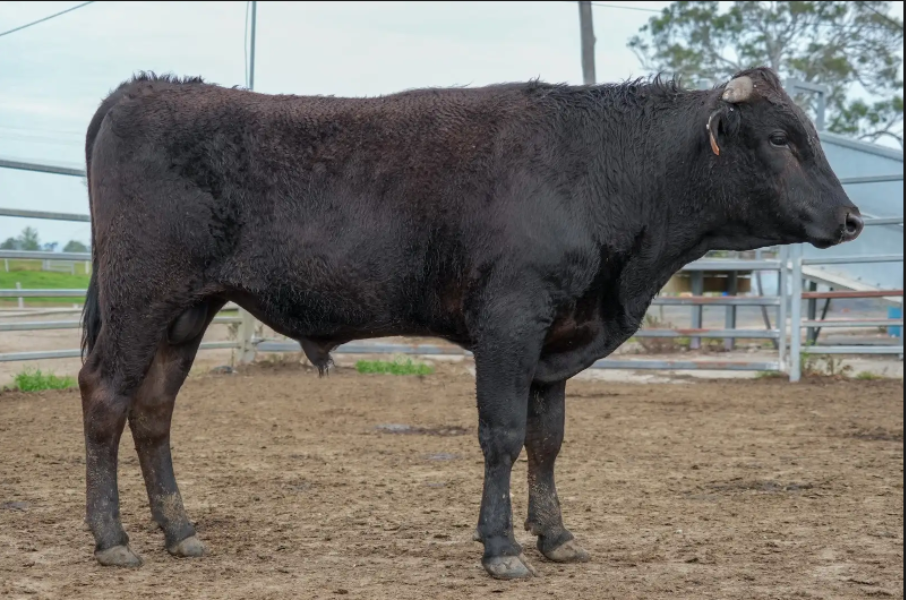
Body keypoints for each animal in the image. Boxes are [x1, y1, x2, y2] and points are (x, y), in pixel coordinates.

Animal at [77, 66, 863, 580]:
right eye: (780, 138)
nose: (853, 218)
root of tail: (142, 87)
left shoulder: (556, 339)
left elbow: (548, 441)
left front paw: (556, 535)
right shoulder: (509, 322)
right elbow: (503, 436)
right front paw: (502, 549)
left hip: (186, 310)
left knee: (153, 410)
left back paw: (180, 531)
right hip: (141, 294)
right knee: (105, 396)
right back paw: (113, 539)